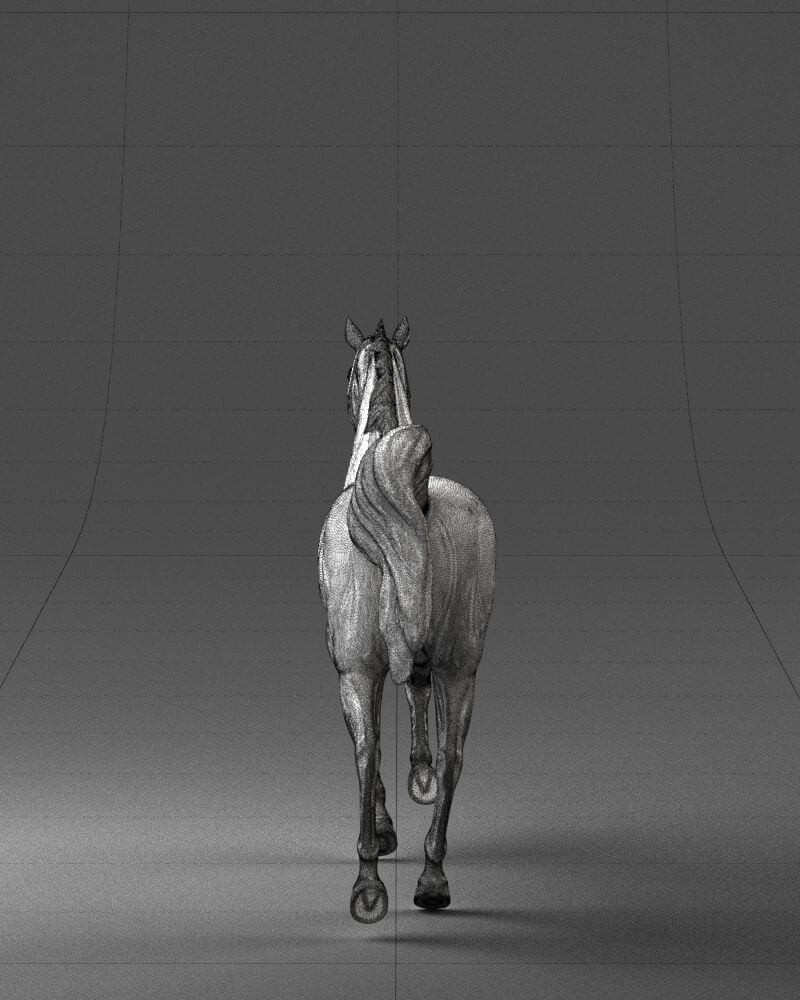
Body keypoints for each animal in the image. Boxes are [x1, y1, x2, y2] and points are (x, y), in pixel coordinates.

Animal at [317, 316, 496, 923]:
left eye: (348, 373)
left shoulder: (356, 667)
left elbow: (369, 745)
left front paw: (386, 826)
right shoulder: (420, 659)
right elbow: (418, 694)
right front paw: (420, 778)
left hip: (356, 671)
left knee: (366, 750)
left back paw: (369, 885)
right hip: (462, 669)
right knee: (454, 757)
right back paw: (433, 879)